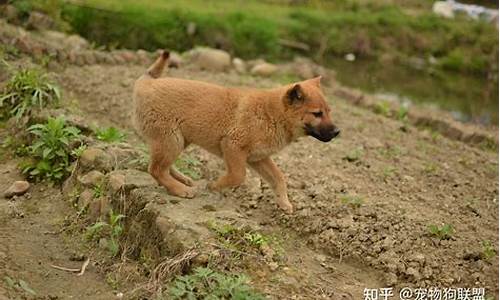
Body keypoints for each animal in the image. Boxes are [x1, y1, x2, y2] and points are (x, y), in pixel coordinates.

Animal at [133, 51, 340, 213]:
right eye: (317, 114)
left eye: (329, 111)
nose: (337, 132)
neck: (271, 114)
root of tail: (146, 83)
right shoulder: (233, 146)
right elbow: (238, 176)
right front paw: (215, 186)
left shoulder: (259, 158)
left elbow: (279, 178)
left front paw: (283, 202)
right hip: (170, 139)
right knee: (156, 169)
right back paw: (179, 189)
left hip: (177, 140)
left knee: (161, 166)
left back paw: (182, 180)